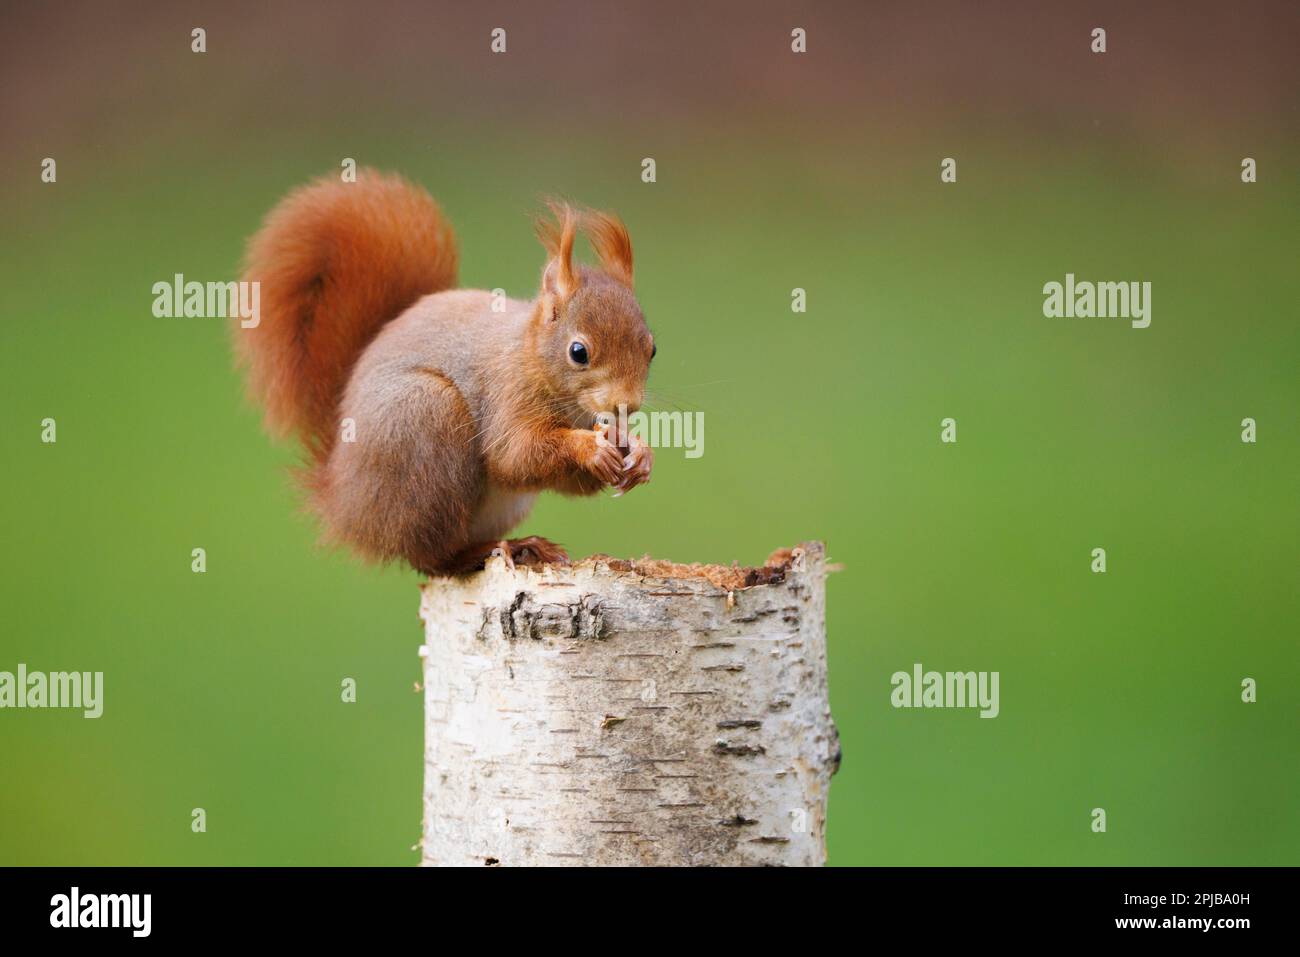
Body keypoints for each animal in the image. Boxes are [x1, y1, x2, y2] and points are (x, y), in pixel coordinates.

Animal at [235, 170, 655, 576]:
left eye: (652, 349)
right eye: (578, 352)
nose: (627, 404)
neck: (530, 355)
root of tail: (340, 495)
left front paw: (637, 452)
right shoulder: (506, 395)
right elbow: (515, 455)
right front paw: (591, 447)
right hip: (424, 422)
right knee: (430, 557)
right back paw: (496, 549)